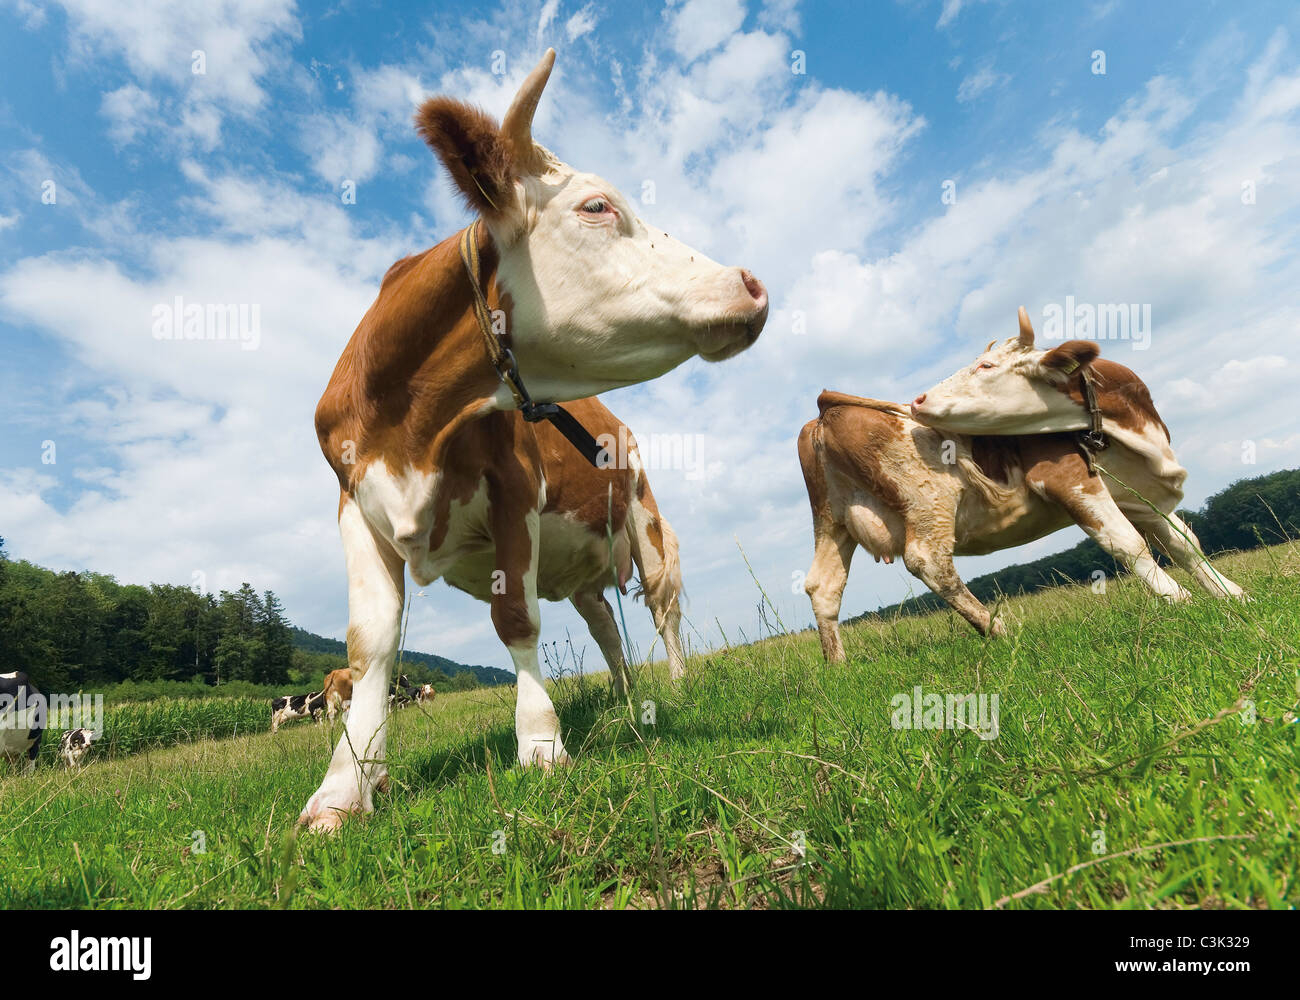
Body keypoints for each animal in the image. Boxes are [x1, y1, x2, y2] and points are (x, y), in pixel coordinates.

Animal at [300, 50, 765, 830]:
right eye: (597, 207)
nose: (750, 283)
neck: (413, 424)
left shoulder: (515, 486)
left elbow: (515, 618)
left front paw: (540, 744)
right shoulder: (354, 506)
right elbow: (370, 650)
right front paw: (344, 788)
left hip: (648, 526)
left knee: (664, 612)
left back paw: (671, 687)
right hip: (581, 566)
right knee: (605, 625)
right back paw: (621, 694)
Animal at [799, 307, 1242, 664]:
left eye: (986, 366)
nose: (918, 401)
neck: (1135, 433)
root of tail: (824, 409)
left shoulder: (1137, 494)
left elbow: (1185, 543)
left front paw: (1232, 595)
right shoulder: (1066, 478)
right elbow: (1126, 543)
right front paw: (1180, 601)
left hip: (832, 519)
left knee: (823, 586)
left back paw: (838, 667)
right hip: (927, 502)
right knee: (929, 562)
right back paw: (998, 630)